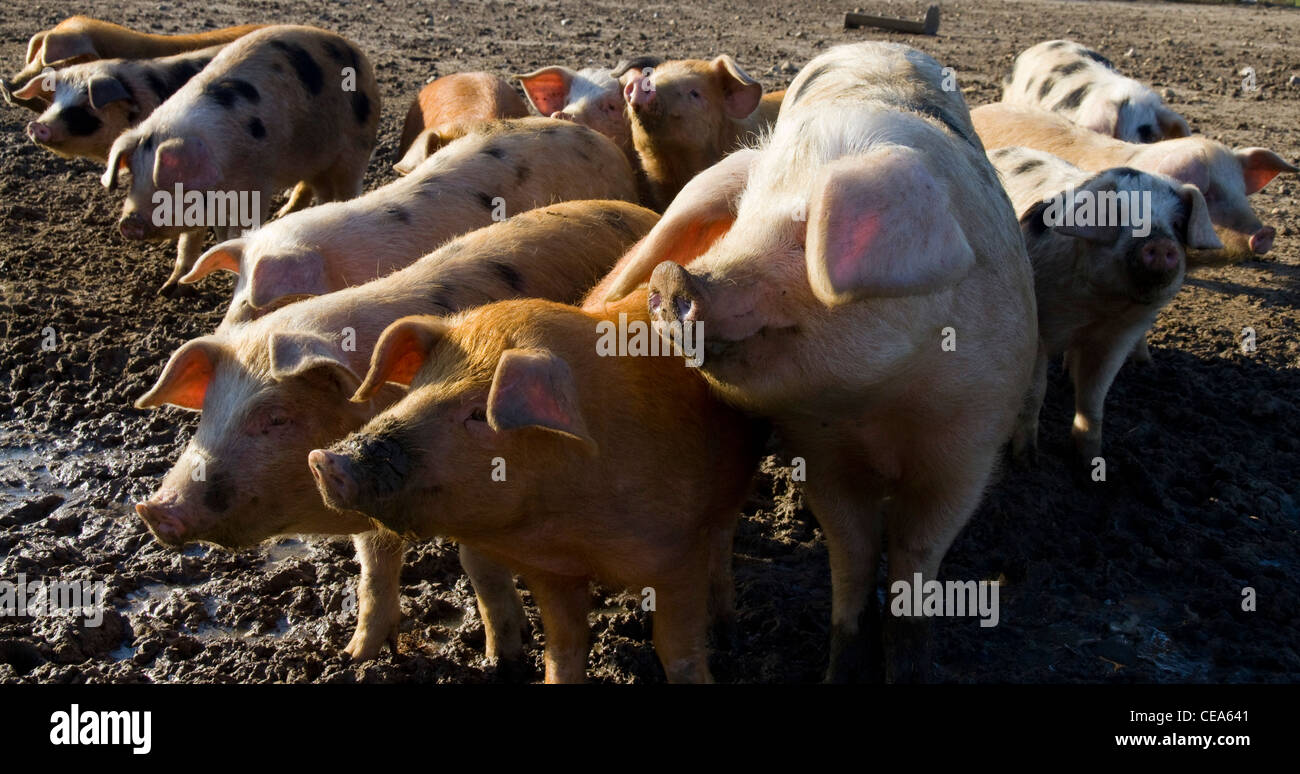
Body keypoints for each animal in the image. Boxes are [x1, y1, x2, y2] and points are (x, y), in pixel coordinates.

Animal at [101, 25, 382, 295]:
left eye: (171, 182)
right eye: (134, 175)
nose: (129, 223)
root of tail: (357, 53)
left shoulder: (254, 186)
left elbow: (237, 234)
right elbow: (190, 241)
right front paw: (169, 289)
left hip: (355, 149)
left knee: (346, 189)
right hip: (316, 163)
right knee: (316, 189)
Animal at [132, 200, 658, 663]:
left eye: (277, 418)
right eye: (208, 413)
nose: (155, 509)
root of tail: (638, 211)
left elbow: (477, 563)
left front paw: (500, 656)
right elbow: (374, 568)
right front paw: (353, 658)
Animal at [308, 291, 761, 683]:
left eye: (479, 413)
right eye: (416, 387)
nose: (324, 460)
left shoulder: (676, 556)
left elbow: (677, 649)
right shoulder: (554, 572)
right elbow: (563, 648)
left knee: (721, 548)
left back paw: (727, 630)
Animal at [988, 146, 1222, 462]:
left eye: (1176, 223)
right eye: (1117, 215)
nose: (1160, 243)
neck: (1099, 306)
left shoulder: (1118, 338)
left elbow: (1094, 396)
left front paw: (1088, 459)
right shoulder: (1038, 325)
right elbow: (1035, 390)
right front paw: (1026, 458)